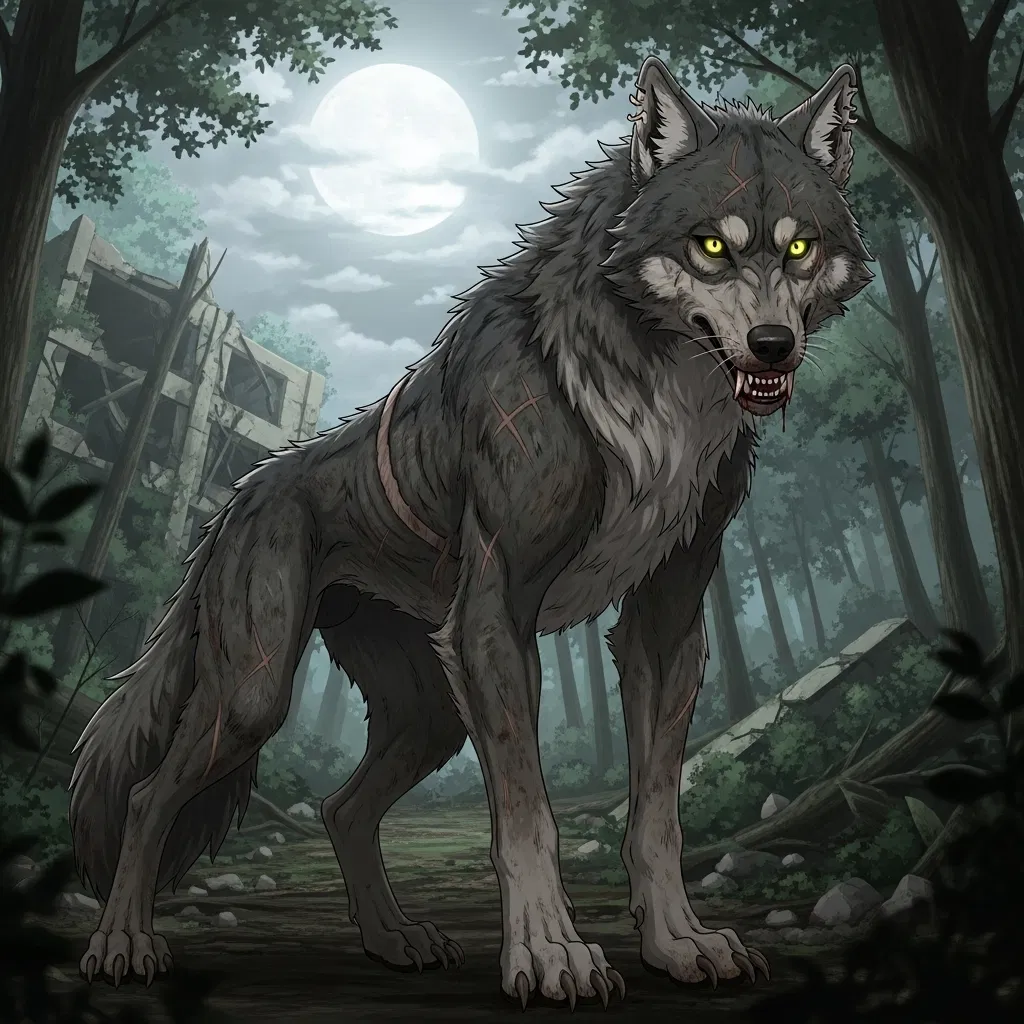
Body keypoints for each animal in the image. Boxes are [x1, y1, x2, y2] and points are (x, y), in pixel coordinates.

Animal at [69, 56, 871, 1007]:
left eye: (799, 247)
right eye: (712, 246)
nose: (773, 345)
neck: (659, 398)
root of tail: (237, 496)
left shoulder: (666, 624)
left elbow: (656, 817)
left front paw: (678, 943)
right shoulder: (496, 616)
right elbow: (529, 816)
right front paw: (551, 954)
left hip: (427, 718)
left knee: (340, 808)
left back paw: (391, 939)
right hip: (255, 696)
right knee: (150, 797)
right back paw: (123, 942)